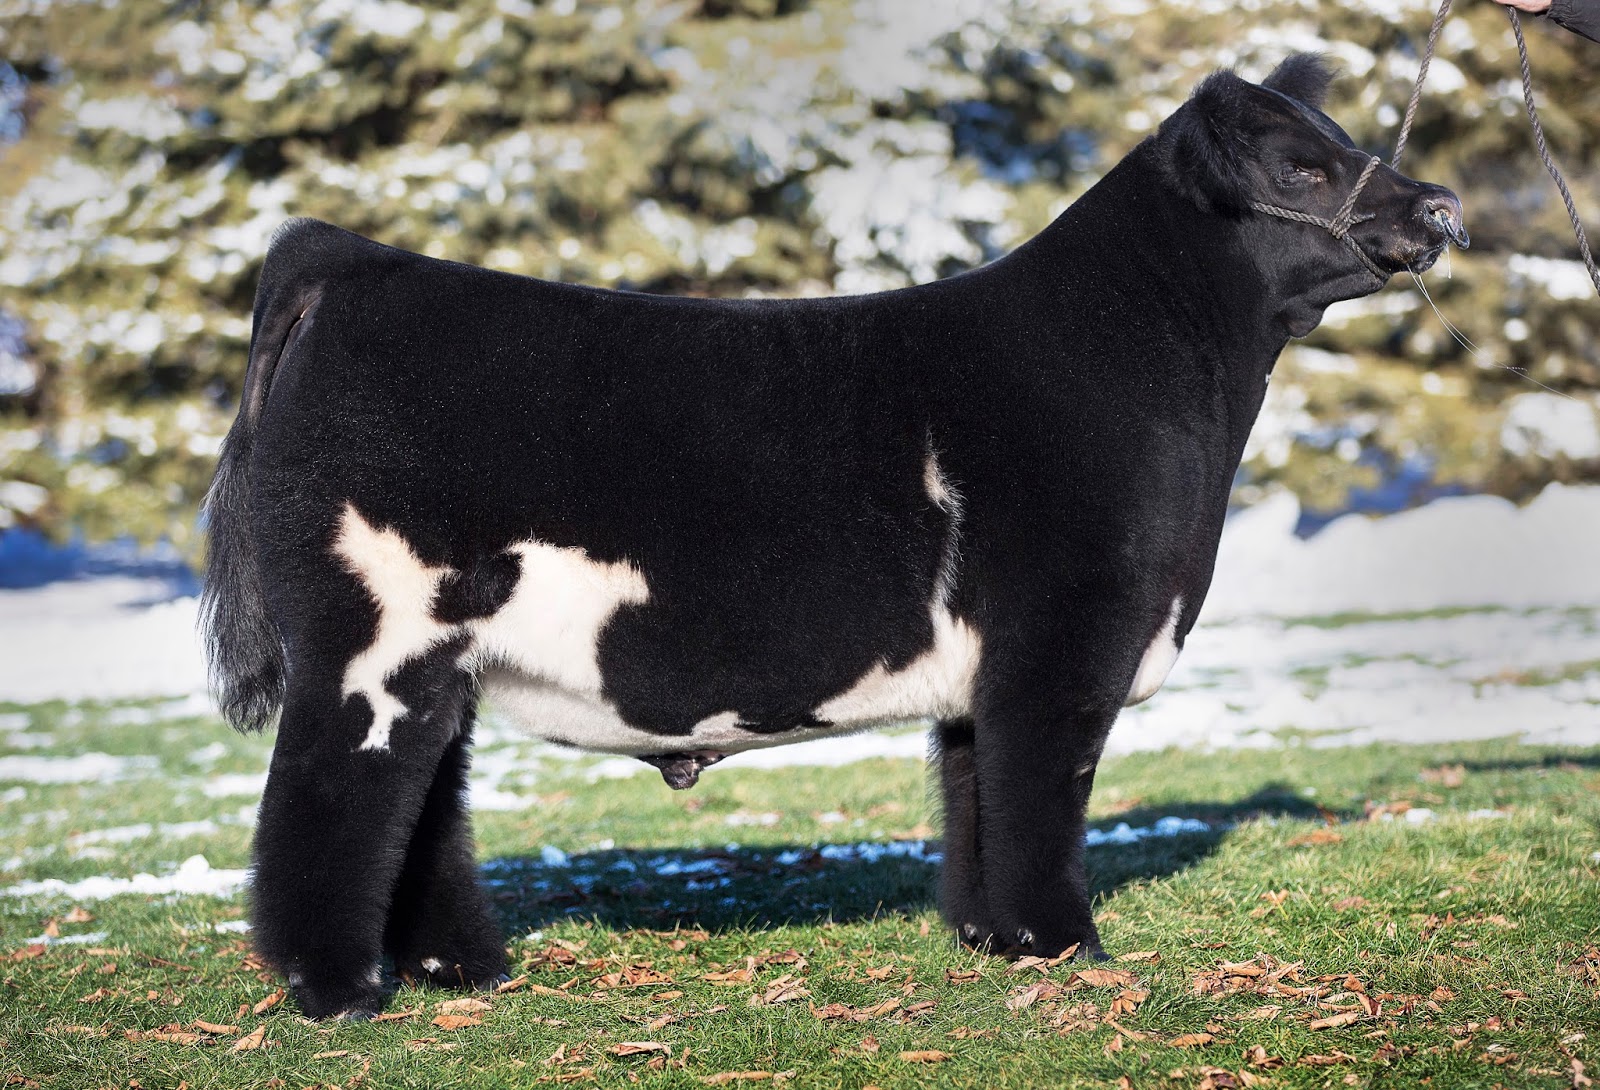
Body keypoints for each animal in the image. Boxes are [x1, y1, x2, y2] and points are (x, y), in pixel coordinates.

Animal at [202, 54, 1466, 1020]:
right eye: (1300, 166)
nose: (1437, 206)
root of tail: (350, 261)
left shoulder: (986, 670)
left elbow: (975, 795)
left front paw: (991, 940)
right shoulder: (1064, 639)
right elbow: (1043, 794)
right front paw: (1069, 947)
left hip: (442, 657)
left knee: (420, 804)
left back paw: (458, 968)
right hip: (371, 639)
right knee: (328, 797)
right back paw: (339, 994)